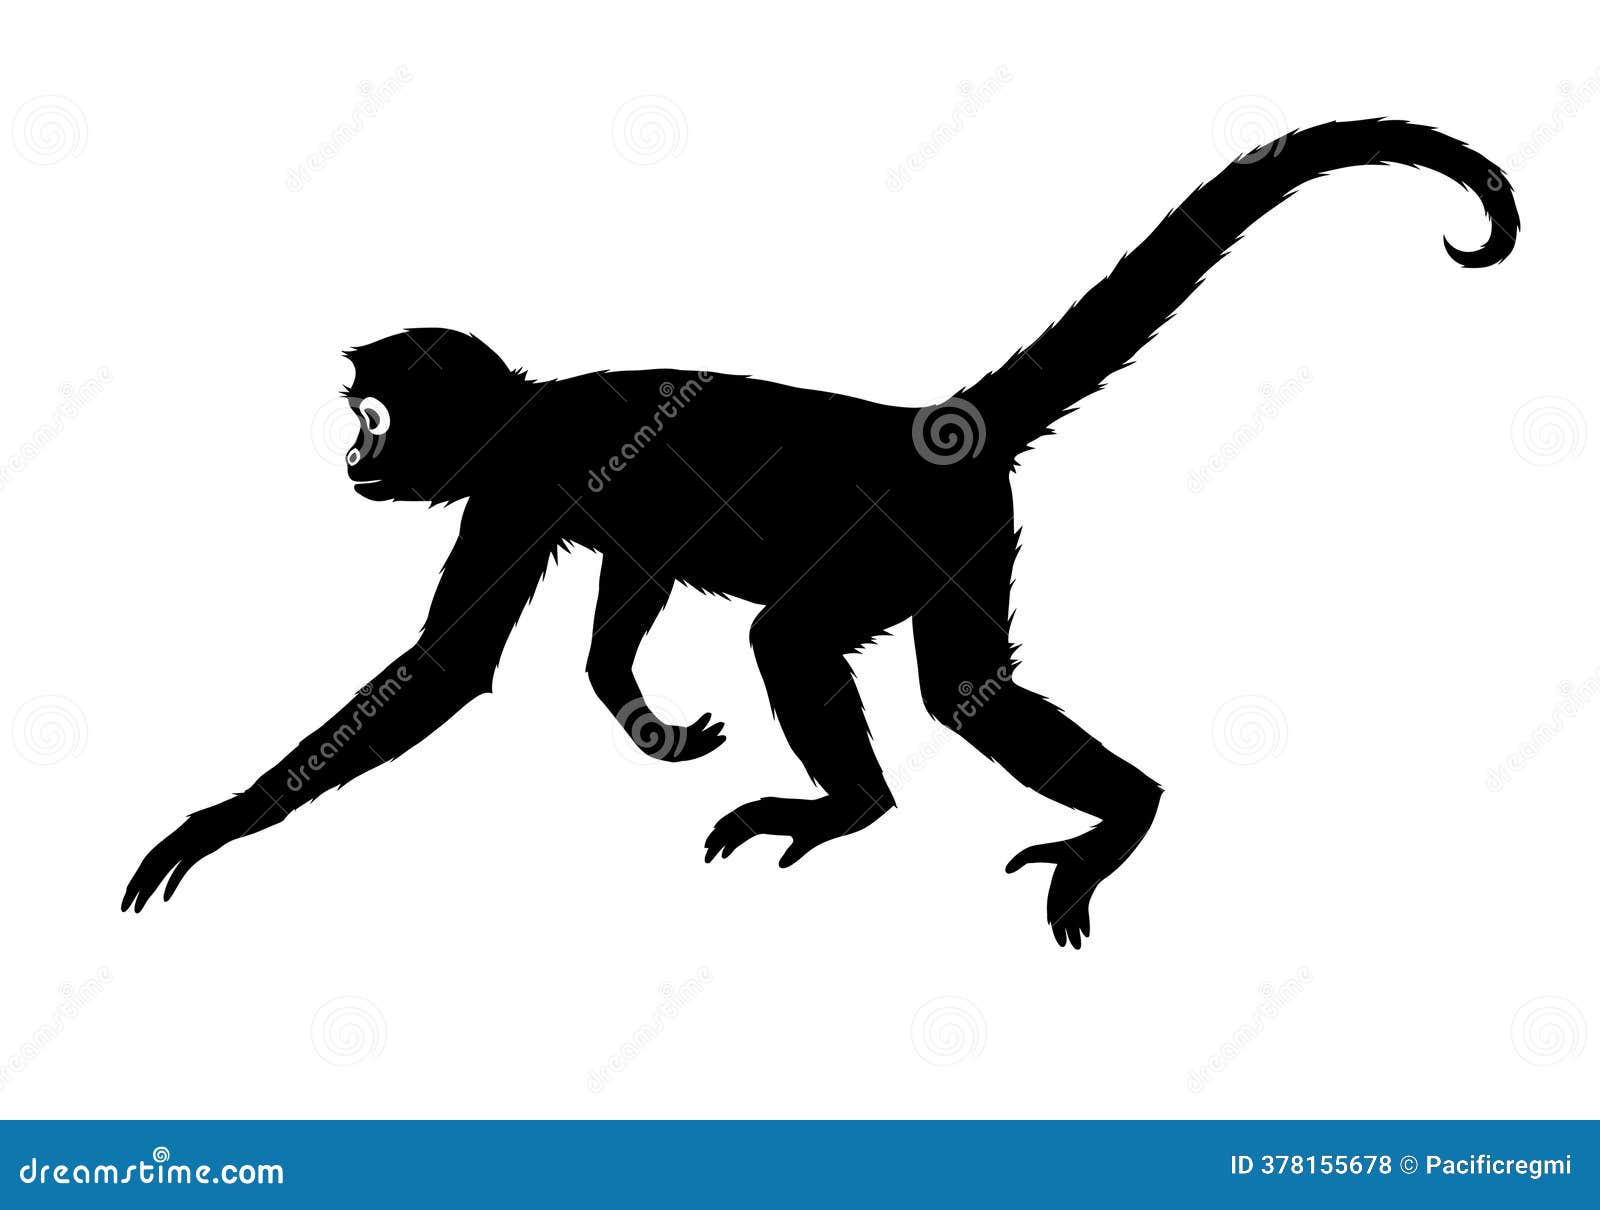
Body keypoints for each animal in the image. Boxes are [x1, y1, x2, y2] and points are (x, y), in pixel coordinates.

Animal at [124, 118, 1517, 947]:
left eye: (371, 412)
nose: (344, 453)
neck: (527, 411)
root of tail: (930, 424)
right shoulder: (564, 505)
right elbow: (623, 601)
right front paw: (645, 716)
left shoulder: (518, 482)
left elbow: (450, 667)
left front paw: (216, 824)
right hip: (968, 542)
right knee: (964, 683)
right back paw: (1113, 809)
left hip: (902, 534)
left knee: (808, 640)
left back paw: (876, 805)